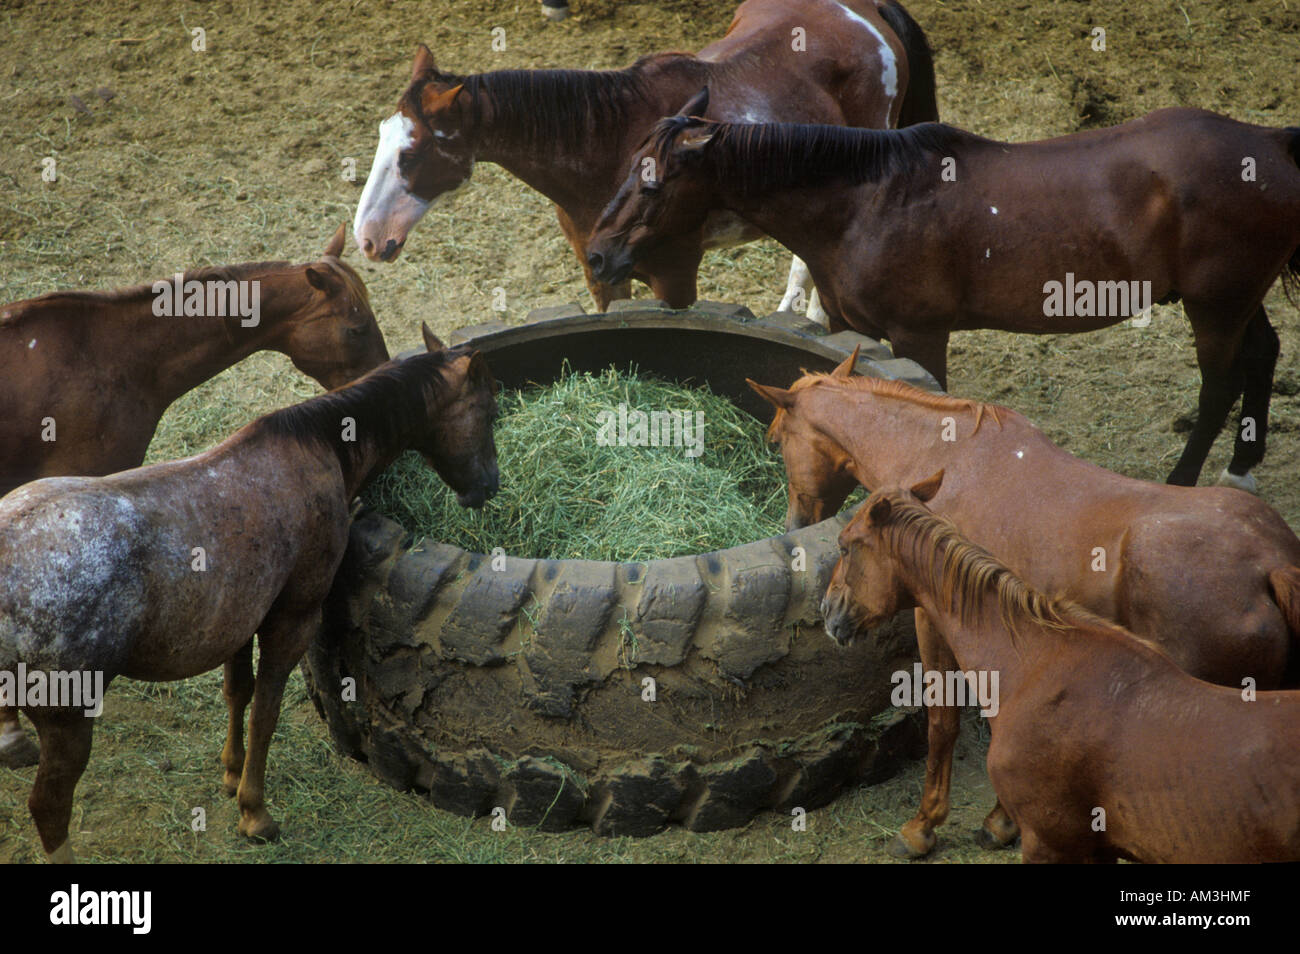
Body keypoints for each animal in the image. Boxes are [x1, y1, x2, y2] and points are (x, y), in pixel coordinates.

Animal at [0, 326, 499, 862]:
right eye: (489, 411)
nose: (488, 487)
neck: (317, 445)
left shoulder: (240, 617)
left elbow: (237, 692)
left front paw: (231, 771)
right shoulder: (293, 618)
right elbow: (265, 712)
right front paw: (255, 812)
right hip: (67, 719)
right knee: (49, 807)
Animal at [351, 0, 938, 315]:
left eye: (412, 153)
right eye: (381, 135)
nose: (368, 240)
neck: (612, 145)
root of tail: (866, 12)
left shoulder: (674, 277)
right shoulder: (600, 271)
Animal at [587, 93, 1300, 489]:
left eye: (653, 183)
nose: (596, 255)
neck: (865, 201)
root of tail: (1269, 141)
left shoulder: (919, 335)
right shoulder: (855, 330)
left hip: (1216, 306)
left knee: (1219, 387)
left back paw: (1186, 481)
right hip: (1238, 301)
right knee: (1263, 353)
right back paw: (1243, 468)